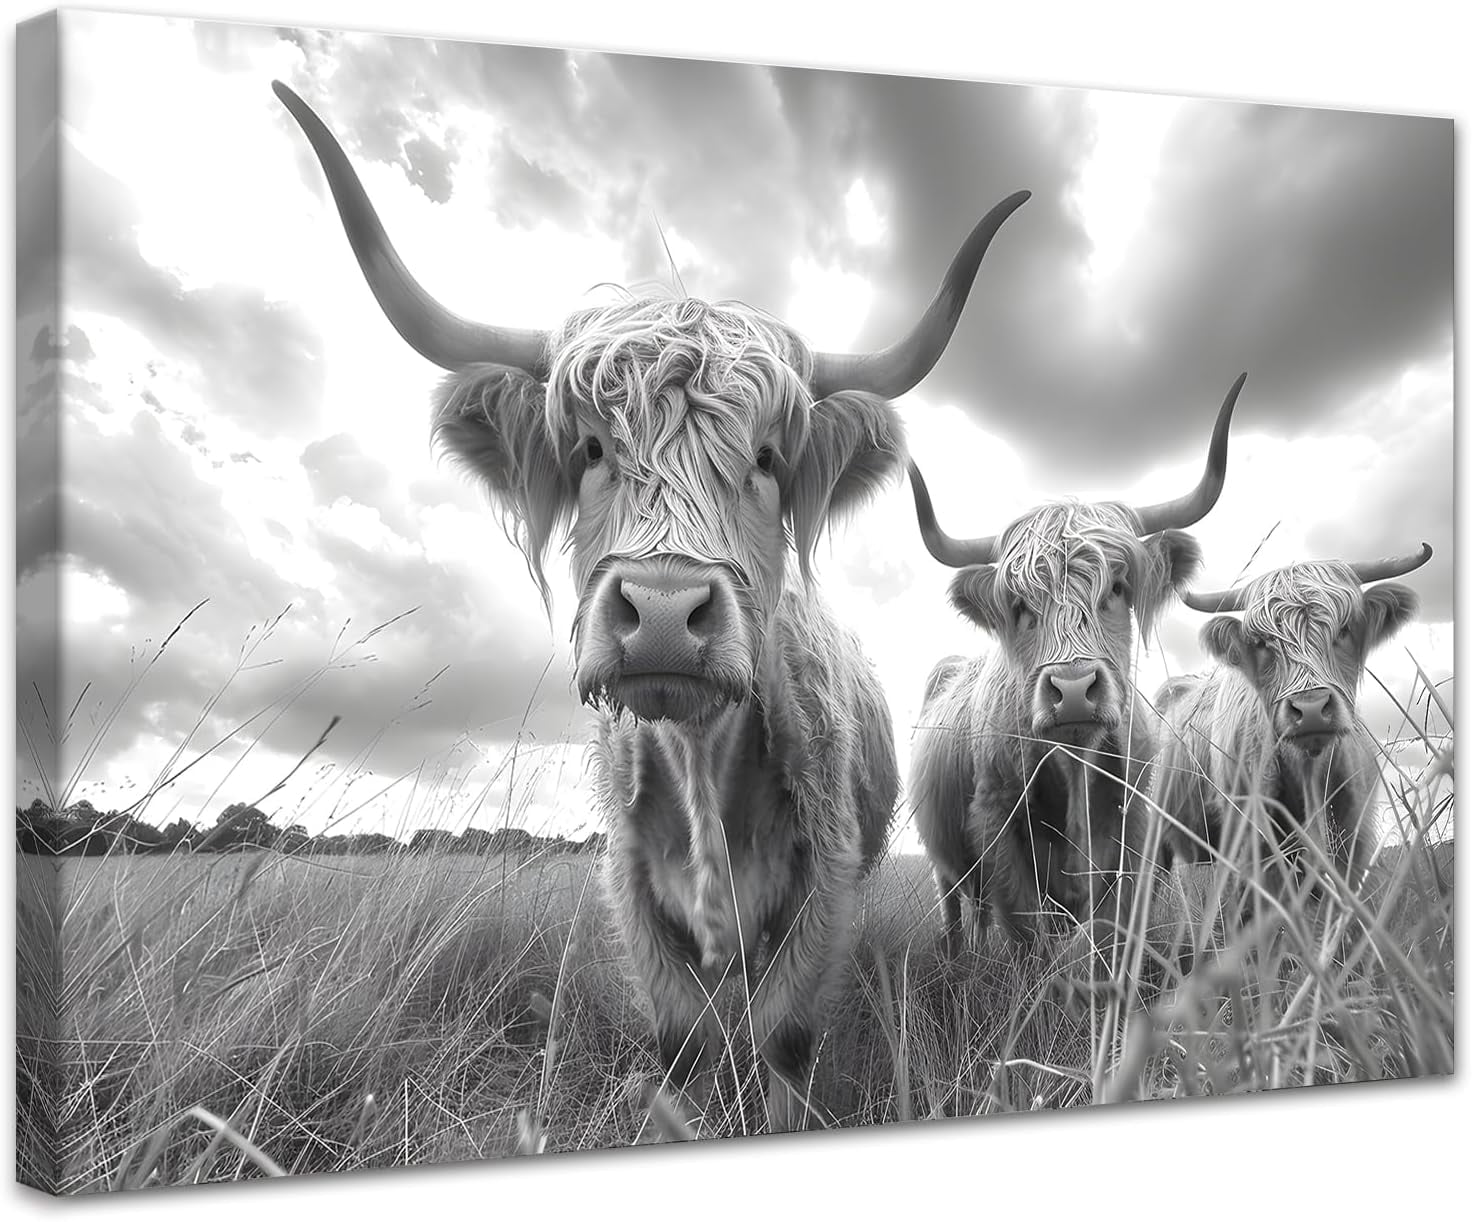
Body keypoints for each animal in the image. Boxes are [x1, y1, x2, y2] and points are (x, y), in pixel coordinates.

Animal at [273, 82, 1028, 1128]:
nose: (666, 612)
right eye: (590, 448)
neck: (702, 761)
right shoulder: (632, 884)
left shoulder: (827, 878)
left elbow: (786, 1037)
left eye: (768, 460)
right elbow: (678, 1042)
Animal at [906, 375, 1245, 958]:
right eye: (1019, 605)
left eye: (1118, 588)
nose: (1072, 689)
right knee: (955, 906)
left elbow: (1110, 930)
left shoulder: (1137, 831)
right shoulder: (996, 821)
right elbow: (1026, 933)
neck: (1074, 765)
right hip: (943, 862)